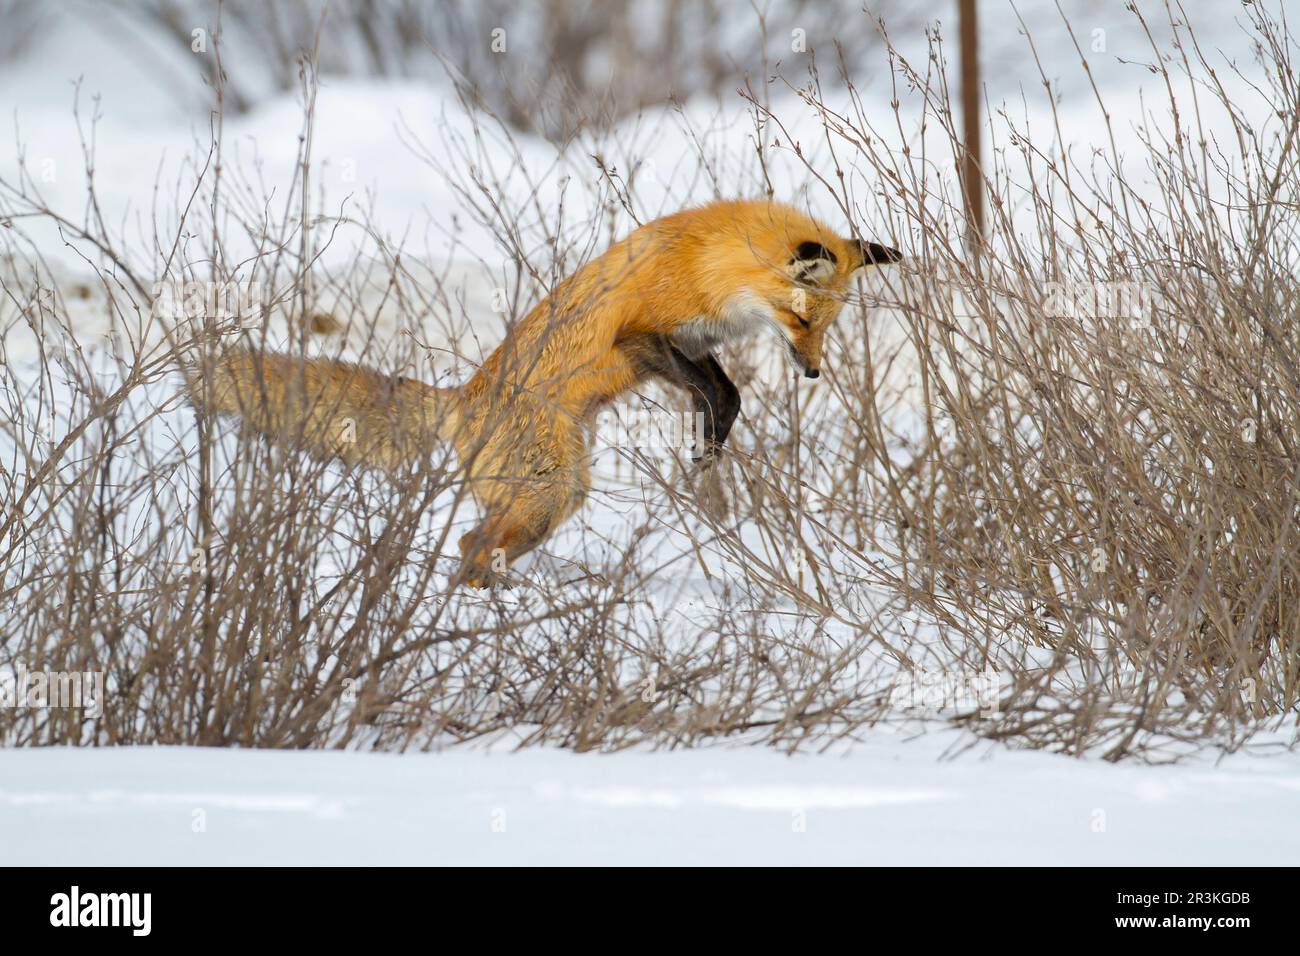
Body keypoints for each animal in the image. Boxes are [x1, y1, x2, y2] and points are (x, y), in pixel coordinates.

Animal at [195, 199, 903, 586]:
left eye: (826, 326)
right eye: (802, 321)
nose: (812, 374)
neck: (713, 264)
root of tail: (463, 398)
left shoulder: (693, 344)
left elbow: (725, 394)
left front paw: (711, 444)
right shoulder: (640, 335)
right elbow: (712, 389)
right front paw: (707, 447)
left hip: (554, 494)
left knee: (473, 542)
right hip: (552, 490)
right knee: (470, 544)